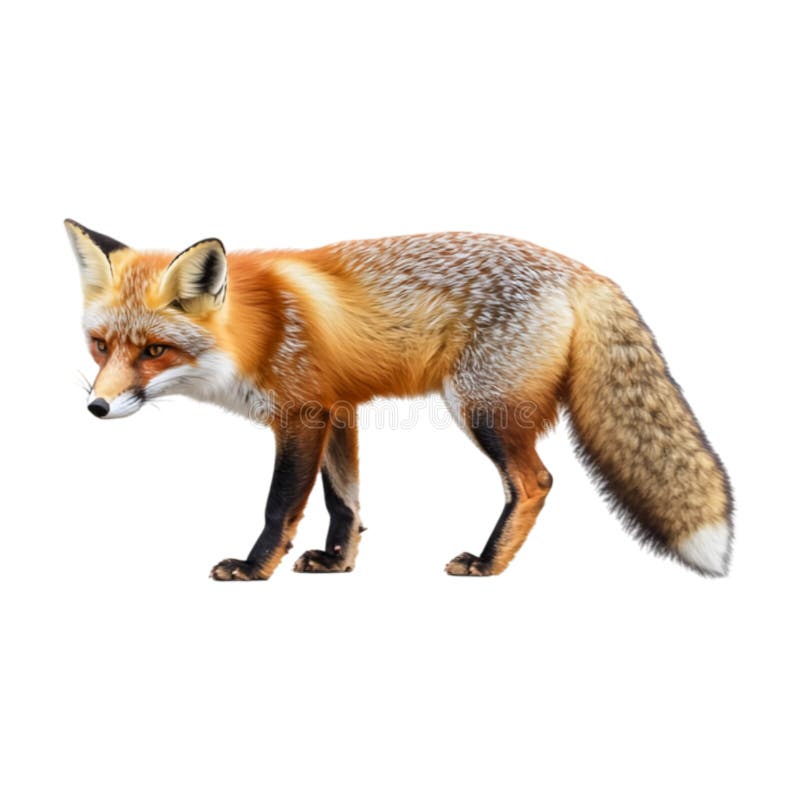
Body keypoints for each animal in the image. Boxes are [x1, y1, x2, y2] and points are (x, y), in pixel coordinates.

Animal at [66, 219, 733, 580]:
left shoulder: (301, 414)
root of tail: (584, 271)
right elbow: (345, 502)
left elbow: (279, 507)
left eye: (154, 350)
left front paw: (254, 569)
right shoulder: (338, 410)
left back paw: (488, 564)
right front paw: (338, 564)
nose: (97, 408)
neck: (260, 329)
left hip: (482, 410)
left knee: (535, 482)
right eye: (100, 346)